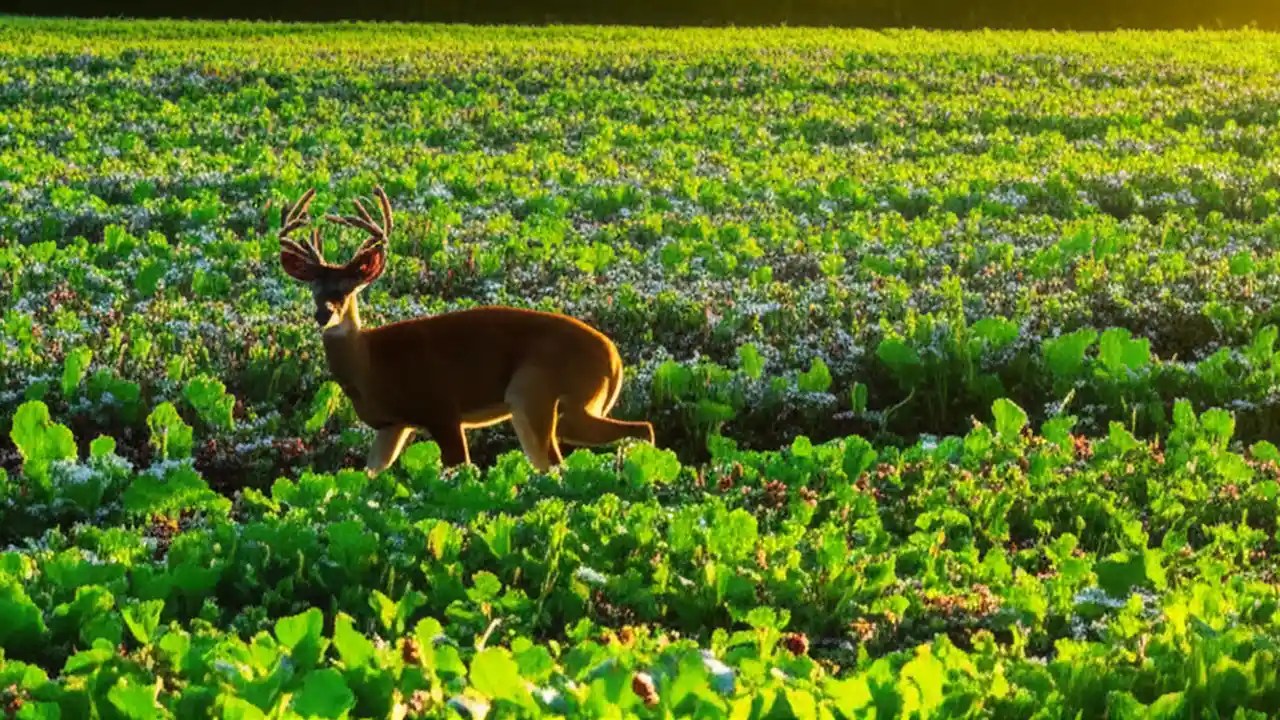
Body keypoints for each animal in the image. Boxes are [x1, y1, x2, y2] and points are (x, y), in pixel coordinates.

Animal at [276, 186, 655, 475]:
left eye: (346, 290)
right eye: (314, 289)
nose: (323, 315)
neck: (370, 365)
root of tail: (615, 360)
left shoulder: (440, 408)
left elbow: (459, 468)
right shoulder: (392, 425)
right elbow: (370, 474)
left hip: (536, 390)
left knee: (572, 454)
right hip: (570, 402)